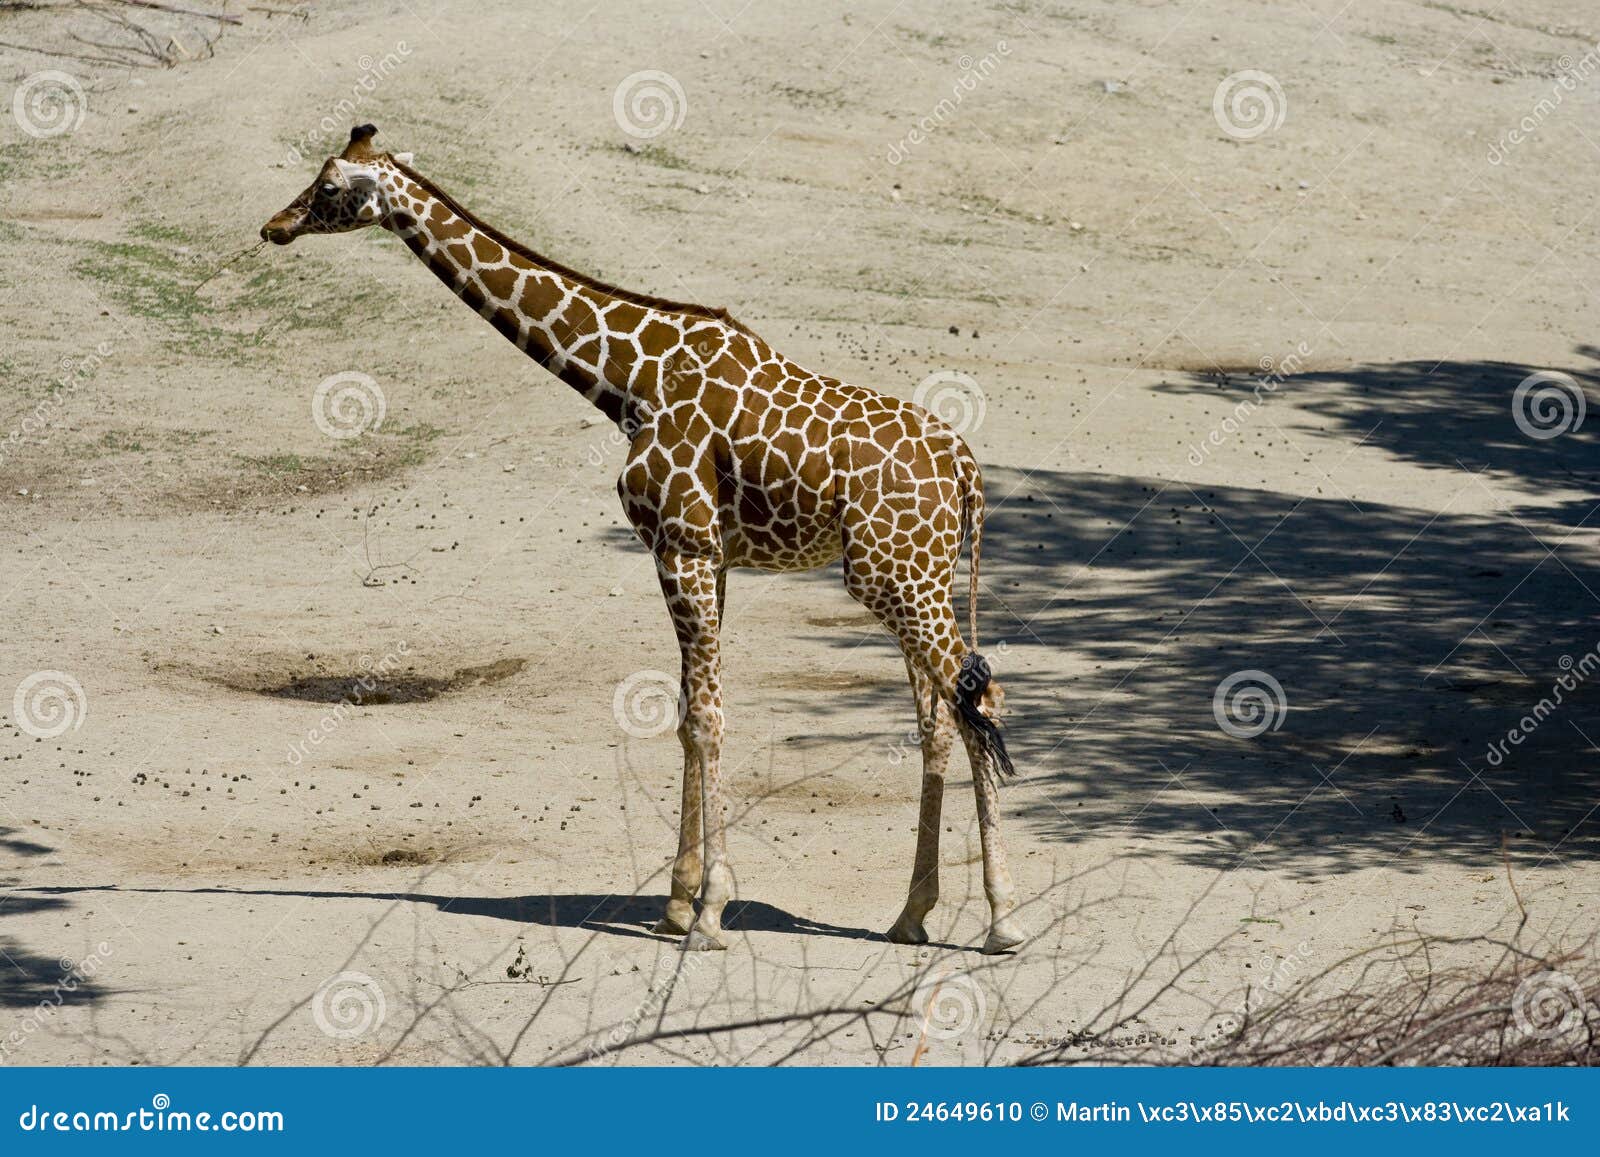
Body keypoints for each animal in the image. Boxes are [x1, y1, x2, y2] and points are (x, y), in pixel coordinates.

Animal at [261, 125, 1027, 954]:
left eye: (329, 186)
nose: (274, 225)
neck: (627, 377)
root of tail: (965, 468)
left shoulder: (680, 546)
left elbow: (707, 715)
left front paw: (711, 912)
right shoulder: (709, 557)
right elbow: (689, 714)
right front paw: (676, 903)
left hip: (893, 577)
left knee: (982, 698)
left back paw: (1003, 918)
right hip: (917, 576)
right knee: (942, 714)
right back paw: (911, 915)